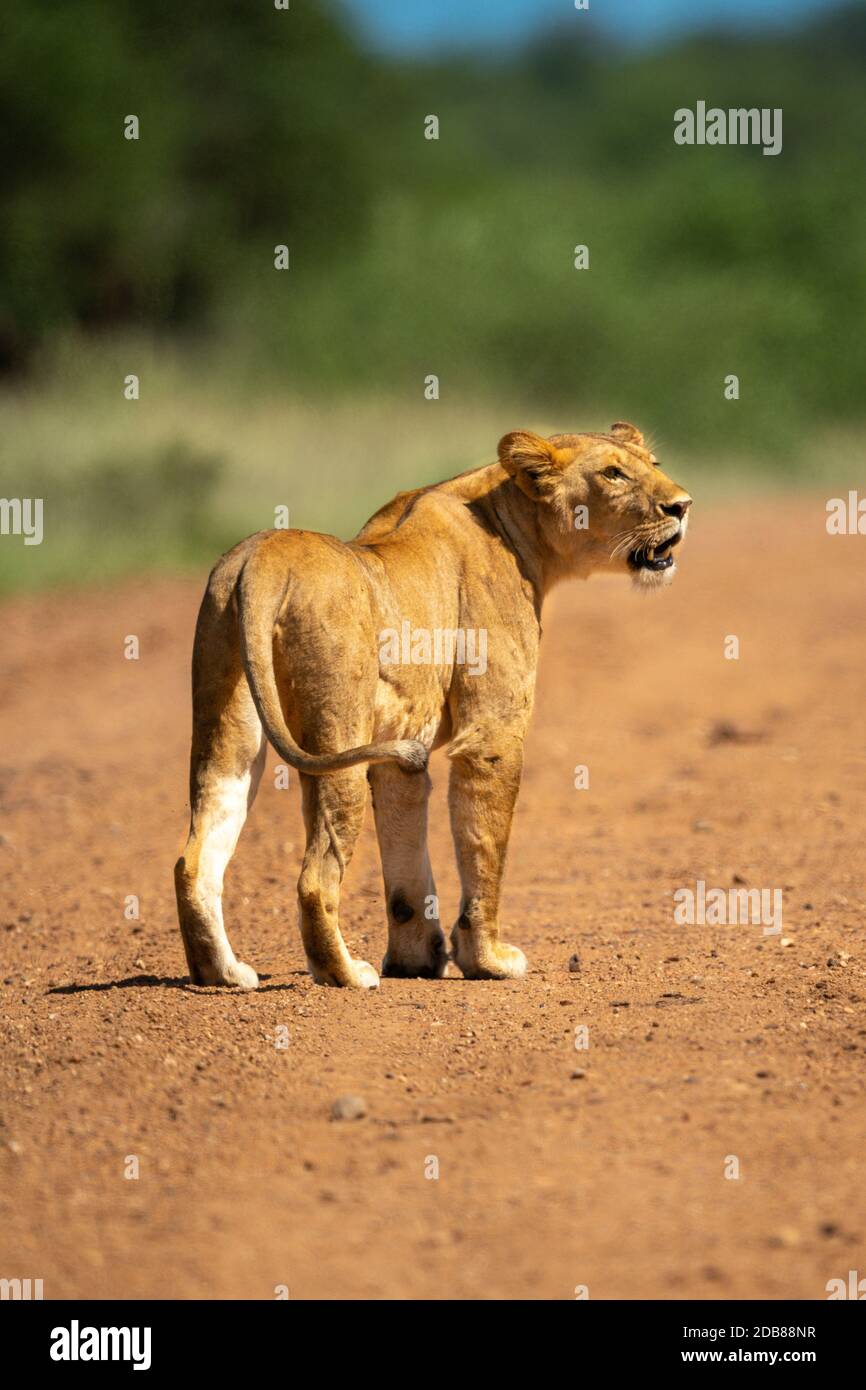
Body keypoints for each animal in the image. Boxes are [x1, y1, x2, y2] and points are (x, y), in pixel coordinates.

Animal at [174, 422, 691, 990]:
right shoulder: (491, 734)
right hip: (339, 737)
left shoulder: (401, 754)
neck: (517, 523)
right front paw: (488, 960)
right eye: (613, 473)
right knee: (314, 877)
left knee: (195, 857)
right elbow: (485, 850)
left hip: (227, 729)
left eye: (654, 464)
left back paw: (221, 972)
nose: (682, 506)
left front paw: (416, 960)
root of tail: (261, 558)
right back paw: (345, 973)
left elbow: (407, 869)